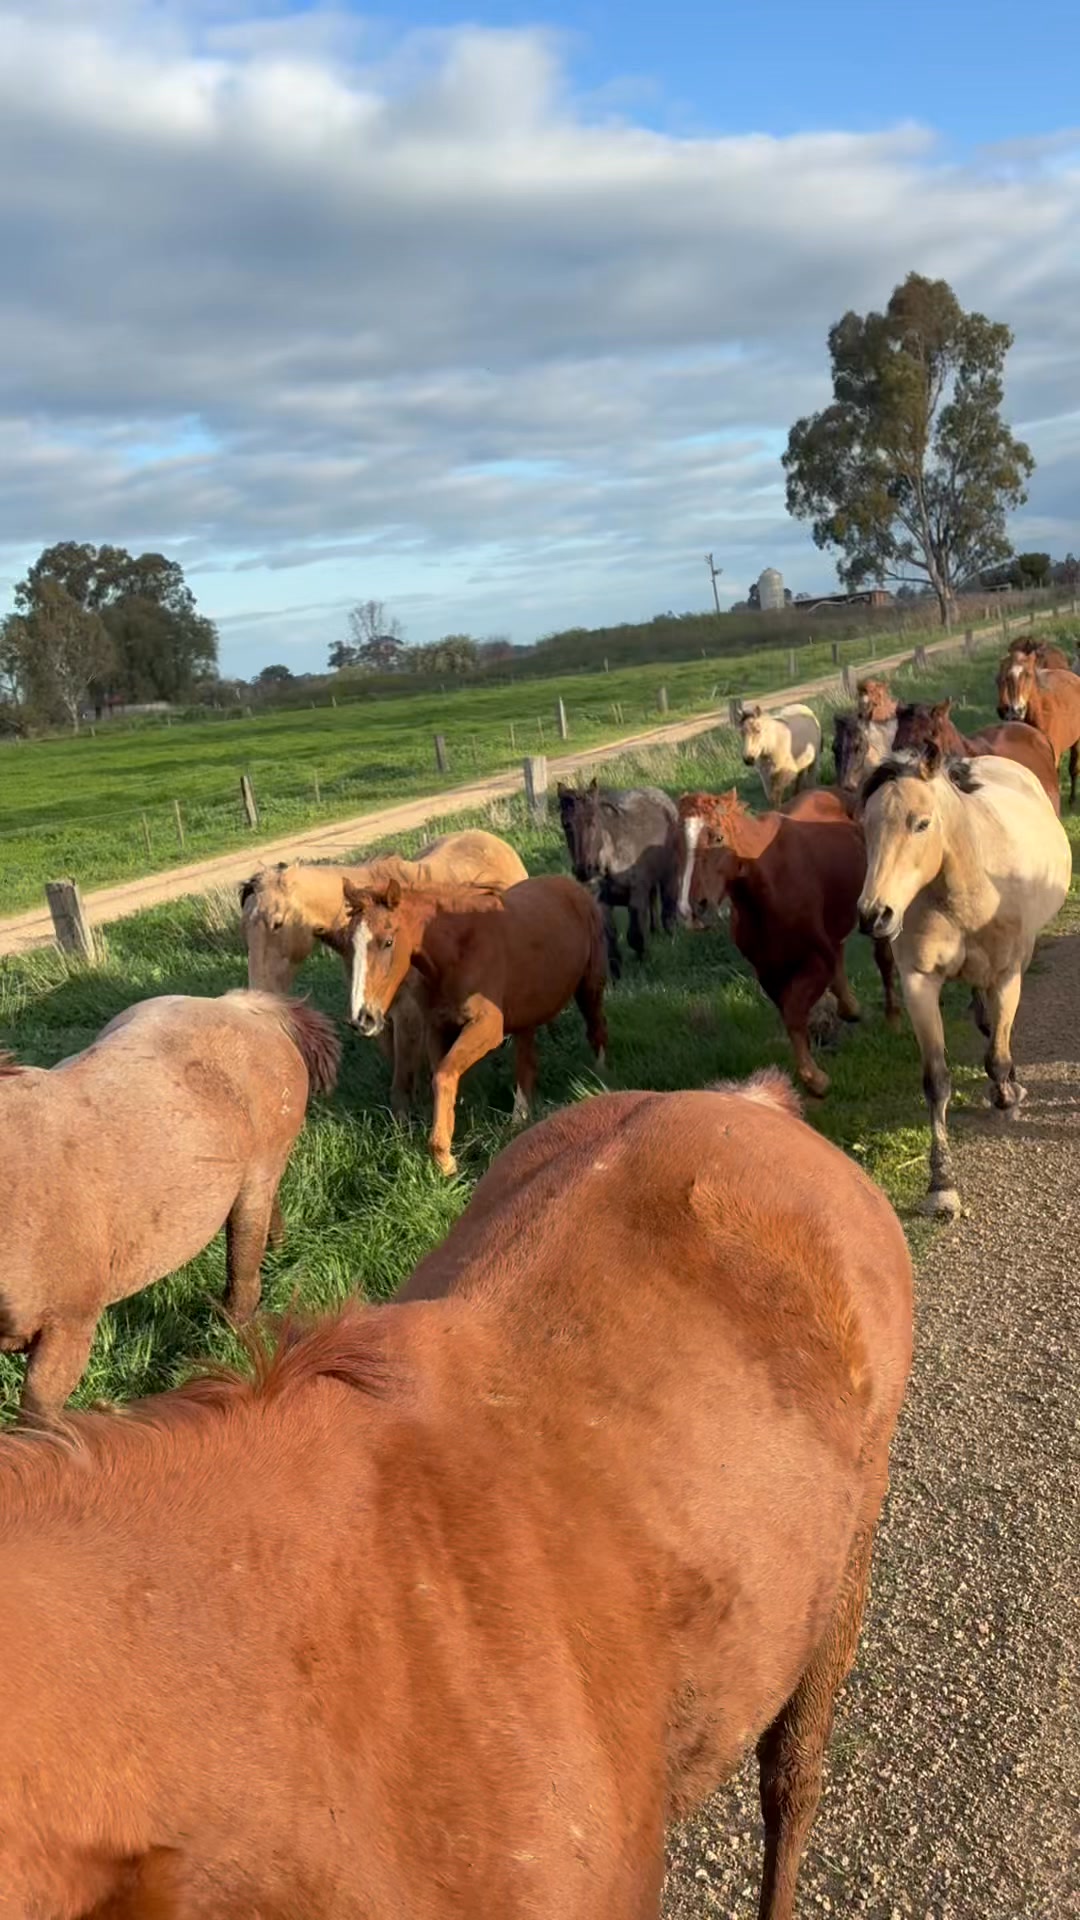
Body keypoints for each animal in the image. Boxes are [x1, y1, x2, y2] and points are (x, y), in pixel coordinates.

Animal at [343, 875, 607, 1175]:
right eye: (349, 944)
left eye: (388, 942)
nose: (361, 1019)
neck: (458, 952)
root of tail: (573, 886)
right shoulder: (437, 1028)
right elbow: (441, 1076)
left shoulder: (487, 1027)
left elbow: (443, 1075)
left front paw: (443, 1158)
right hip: (526, 1014)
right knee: (526, 1064)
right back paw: (519, 1120)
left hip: (590, 988)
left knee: (596, 1029)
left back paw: (599, 1080)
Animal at [556, 779, 680, 979]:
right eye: (566, 824)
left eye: (592, 822)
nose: (584, 870)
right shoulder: (602, 903)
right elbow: (610, 941)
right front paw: (616, 975)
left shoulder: (636, 895)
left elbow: (635, 935)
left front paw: (644, 960)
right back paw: (655, 932)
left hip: (670, 872)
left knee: (668, 907)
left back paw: (671, 936)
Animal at [677, 788, 899, 1094]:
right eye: (679, 842)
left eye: (718, 837)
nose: (691, 909)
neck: (768, 883)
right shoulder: (768, 970)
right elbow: (789, 1013)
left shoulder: (816, 959)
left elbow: (795, 1011)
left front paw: (815, 1080)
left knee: (883, 959)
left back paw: (892, 1017)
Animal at [858, 744, 1070, 1217]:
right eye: (865, 827)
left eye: (920, 823)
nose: (874, 915)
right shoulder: (918, 983)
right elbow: (937, 1081)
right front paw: (941, 1185)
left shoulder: (1007, 975)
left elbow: (997, 1055)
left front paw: (1006, 1096)